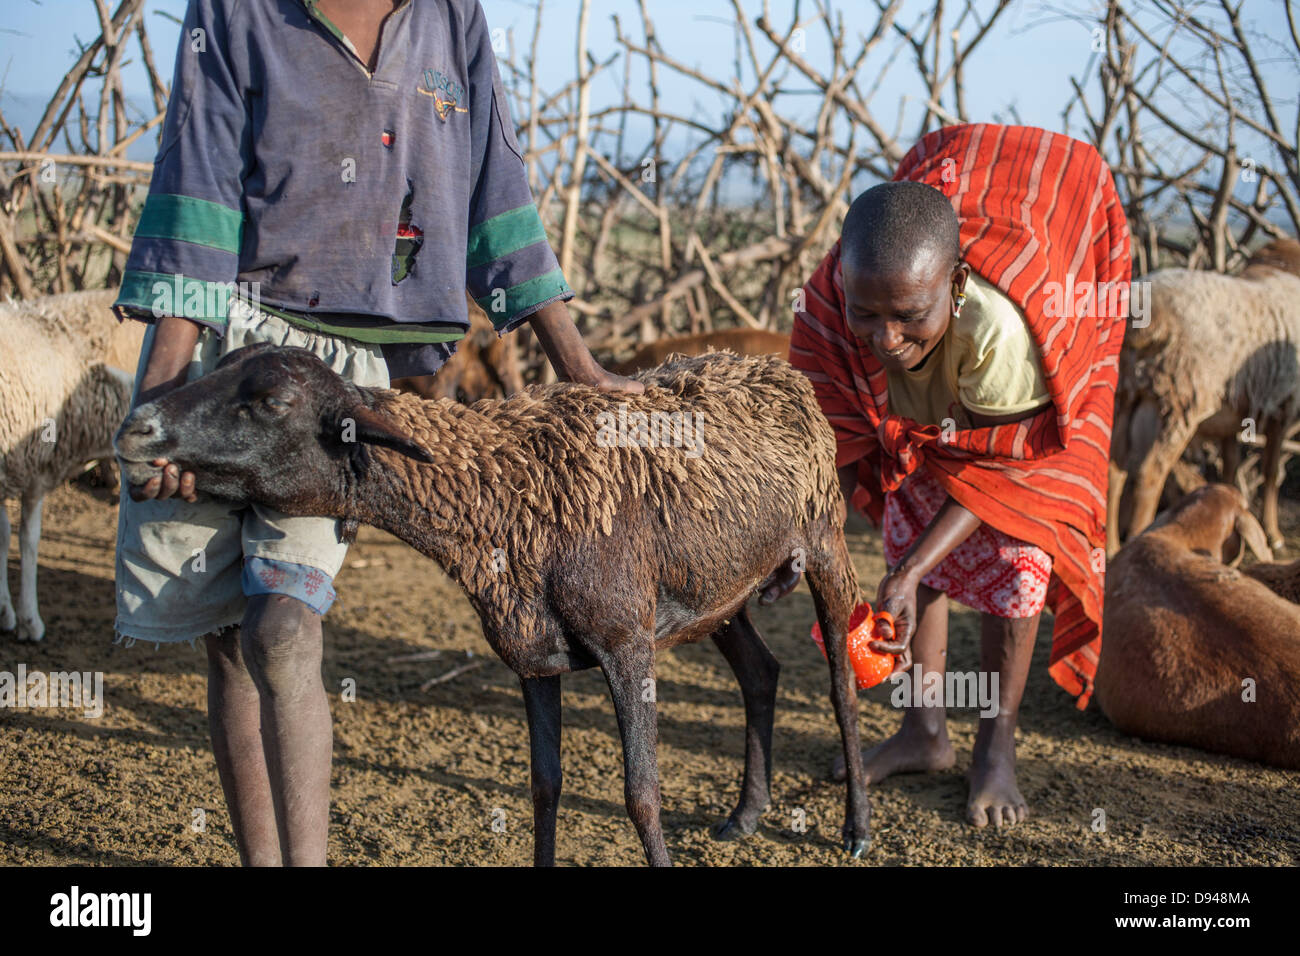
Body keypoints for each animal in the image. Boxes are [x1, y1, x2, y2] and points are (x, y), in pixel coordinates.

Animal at [114, 342, 872, 865]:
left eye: (272, 399)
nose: (136, 429)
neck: (510, 497)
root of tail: (775, 367)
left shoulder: (626, 644)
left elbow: (641, 794)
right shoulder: (533, 657)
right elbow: (544, 787)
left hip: (826, 542)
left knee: (839, 685)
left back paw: (856, 828)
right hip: (720, 590)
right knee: (761, 673)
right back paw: (745, 816)